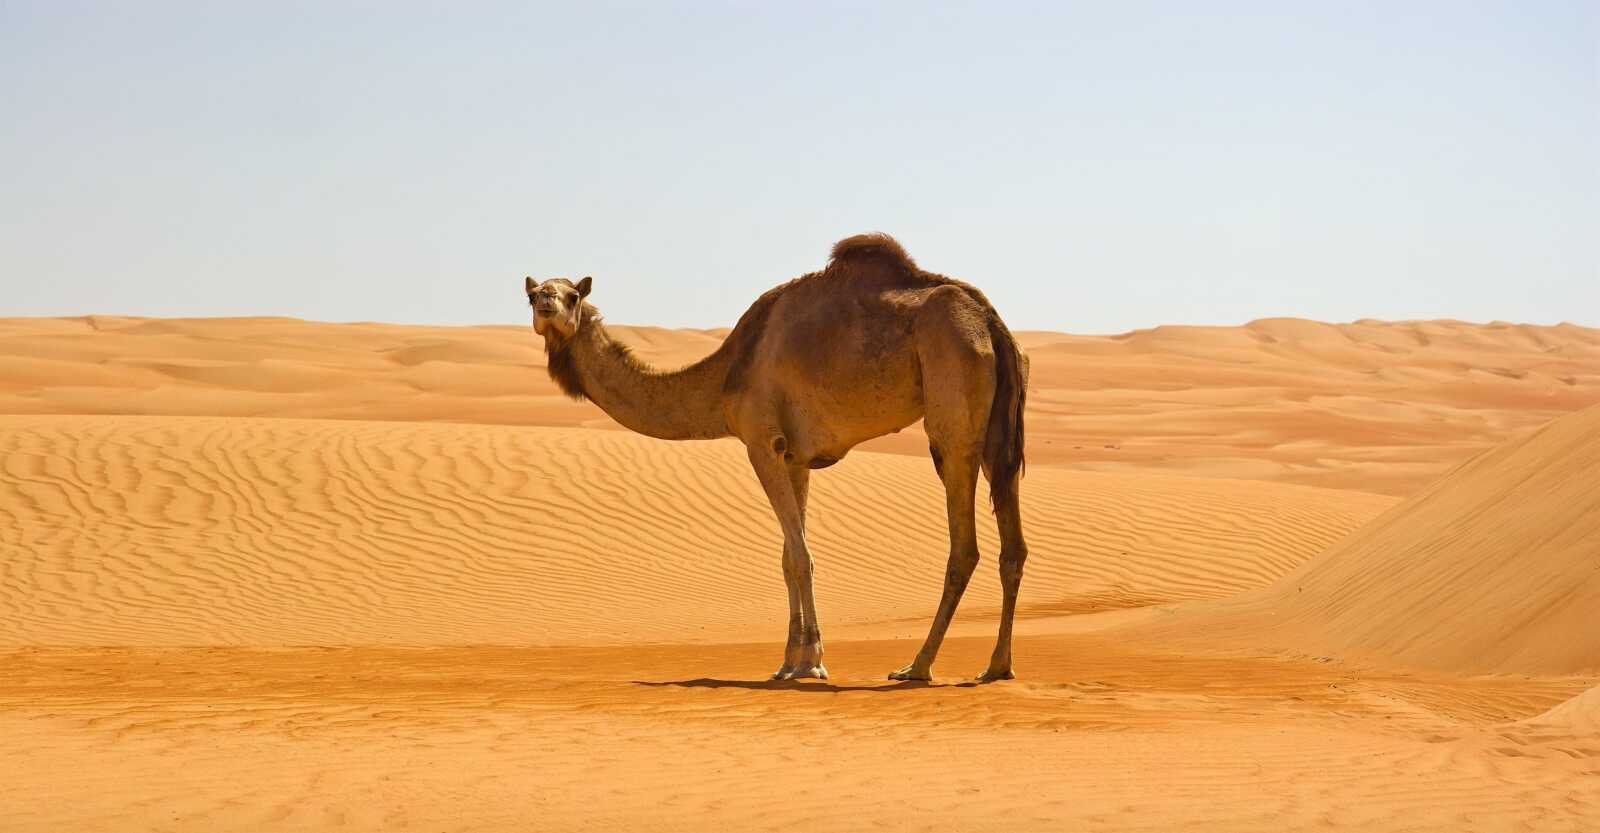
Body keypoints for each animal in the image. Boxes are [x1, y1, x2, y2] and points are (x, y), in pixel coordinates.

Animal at [524, 233, 1029, 682]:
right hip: (998, 429)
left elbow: (801, 555)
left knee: (963, 544)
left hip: (953, 393)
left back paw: (917, 666)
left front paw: (812, 663)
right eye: (531, 294)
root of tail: (990, 322)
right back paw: (996, 666)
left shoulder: (760, 441)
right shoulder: (796, 457)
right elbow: (789, 556)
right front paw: (791, 660)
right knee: (1013, 544)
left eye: (572, 295)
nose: (546, 303)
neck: (726, 376)